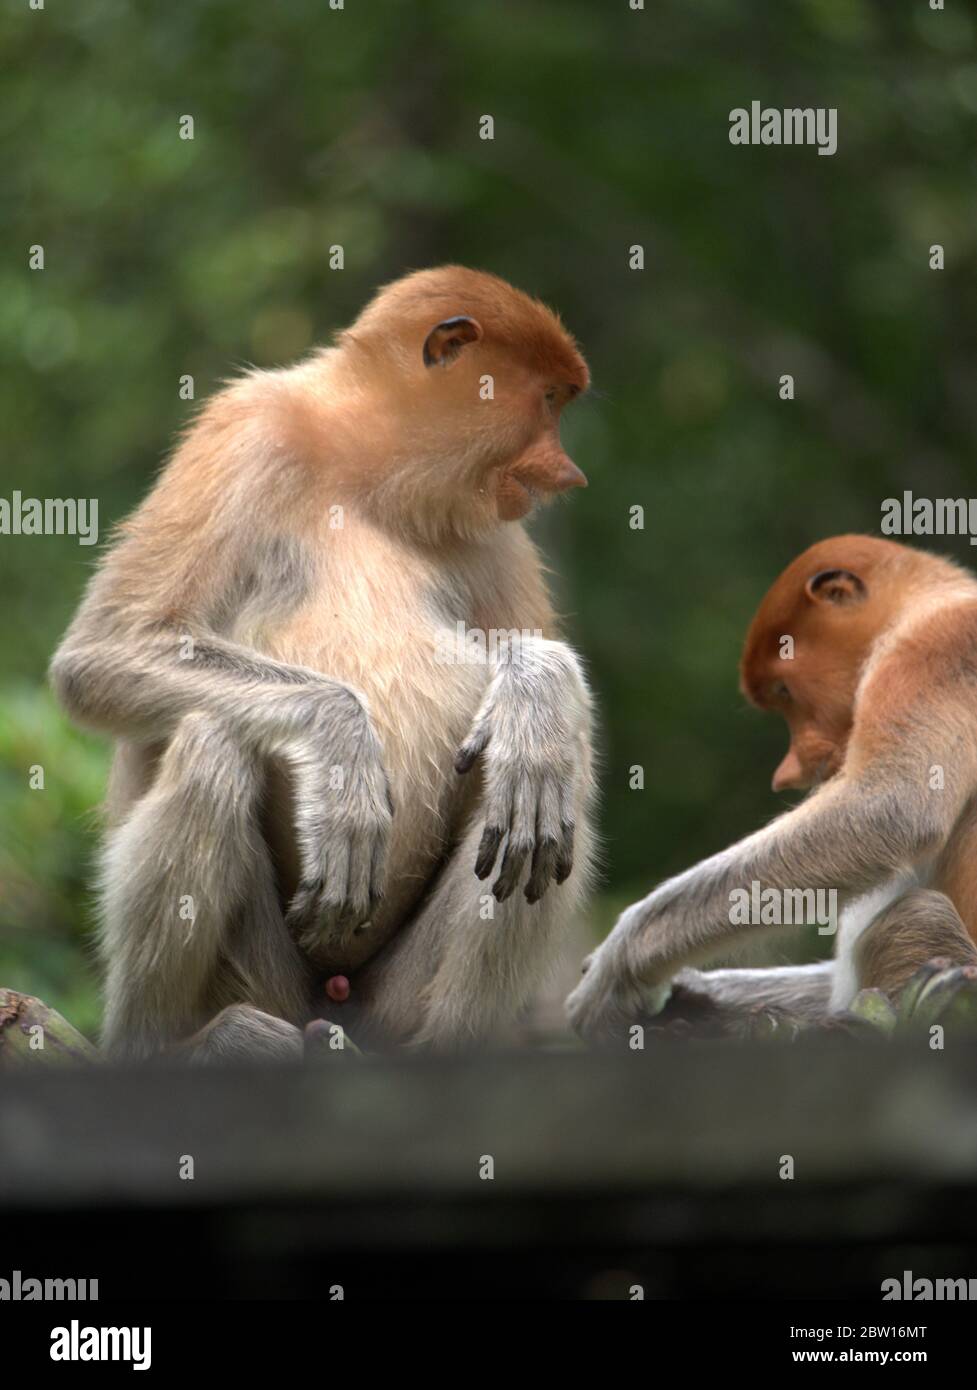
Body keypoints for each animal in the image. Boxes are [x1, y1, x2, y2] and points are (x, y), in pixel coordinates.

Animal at [49, 266, 597, 1060]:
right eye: (548, 400)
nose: (568, 473)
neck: (371, 467)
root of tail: (332, 999)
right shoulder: (249, 428)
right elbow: (107, 649)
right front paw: (345, 759)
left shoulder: (497, 529)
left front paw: (536, 686)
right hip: (260, 977)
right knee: (216, 740)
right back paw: (176, 1047)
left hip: (391, 996)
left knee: (552, 780)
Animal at [566, 535, 977, 1041]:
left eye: (784, 691)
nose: (788, 772)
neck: (926, 599)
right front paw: (694, 998)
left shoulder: (936, 644)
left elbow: (891, 807)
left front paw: (614, 973)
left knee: (917, 915)